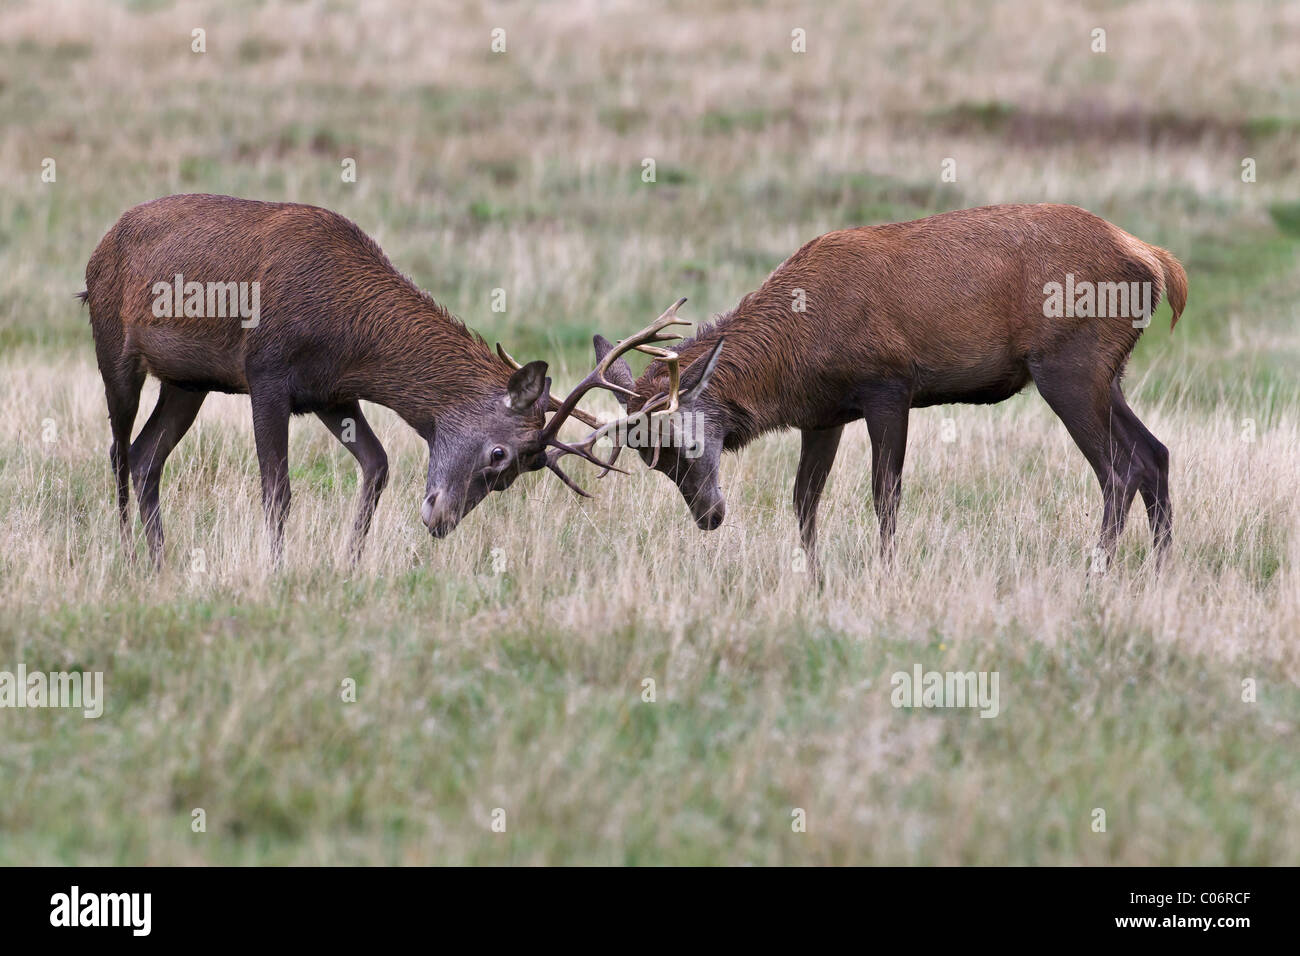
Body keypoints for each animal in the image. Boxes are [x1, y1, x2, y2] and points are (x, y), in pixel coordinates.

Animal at [81, 193, 629, 567]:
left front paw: (349, 563)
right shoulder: (266, 372)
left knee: (146, 456)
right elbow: (277, 489)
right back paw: (129, 556)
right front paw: (276, 571)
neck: (349, 340)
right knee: (118, 450)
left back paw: (159, 562)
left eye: (515, 477)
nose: (440, 521)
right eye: (500, 454)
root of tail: (97, 250)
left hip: (187, 382)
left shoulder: (330, 395)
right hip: (113, 347)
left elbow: (378, 464)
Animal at [554, 204, 1188, 573]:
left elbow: (885, 493)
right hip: (1106, 373)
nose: (709, 516)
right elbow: (803, 500)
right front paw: (812, 578)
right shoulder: (823, 414)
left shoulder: (889, 384)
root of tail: (1157, 262)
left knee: (1118, 468)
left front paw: (885, 571)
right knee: (1154, 453)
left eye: (685, 443)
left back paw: (1097, 569)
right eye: (652, 461)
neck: (798, 355)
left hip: (1069, 365)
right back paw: (1159, 569)